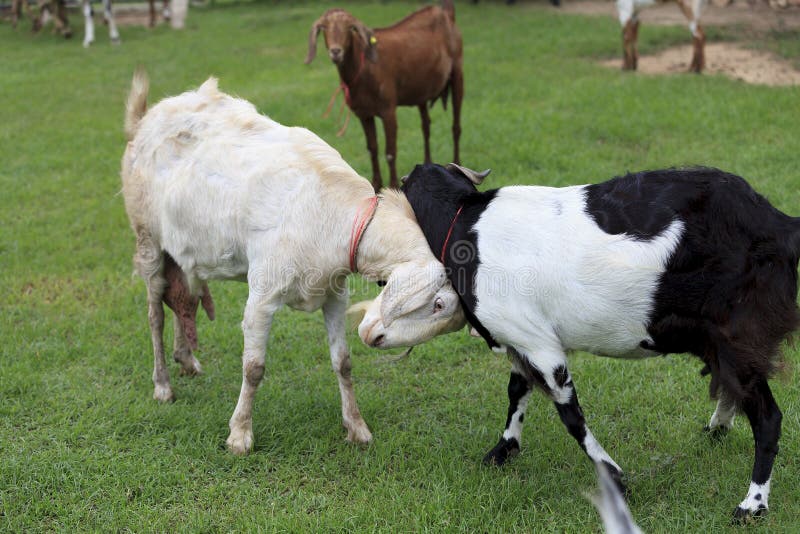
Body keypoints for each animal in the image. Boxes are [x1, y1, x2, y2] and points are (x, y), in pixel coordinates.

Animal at [121, 69, 465, 455]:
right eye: (438, 304)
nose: (374, 338)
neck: (334, 214)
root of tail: (145, 118)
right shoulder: (262, 295)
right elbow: (254, 367)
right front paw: (240, 435)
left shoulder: (335, 293)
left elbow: (343, 362)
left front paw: (357, 428)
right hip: (147, 238)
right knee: (155, 313)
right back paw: (163, 385)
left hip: (183, 250)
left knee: (184, 297)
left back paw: (187, 360)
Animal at [305, 1, 463, 192]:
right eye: (324, 27)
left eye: (350, 28)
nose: (336, 52)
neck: (364, 69)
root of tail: (446, 11)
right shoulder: (363, 113)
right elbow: (372, 148)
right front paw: (375, 184)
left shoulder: (388, 110)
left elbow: (390, 152)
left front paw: (392, 186)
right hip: (422, 91)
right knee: (426, 126)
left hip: (458, 72)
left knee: (456, 126)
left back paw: (457, 164)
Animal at [397, 163, 800, 521]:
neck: (465, 222)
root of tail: (779, 224)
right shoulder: (522, 339)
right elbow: (517, 391)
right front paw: (503, 450)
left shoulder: (542, 349)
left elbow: (571, 417)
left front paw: (616, 477)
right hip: (720, 340)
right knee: (733, 388)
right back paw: (717, 429)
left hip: (739, 333)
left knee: (768, 417)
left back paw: (752, 505)